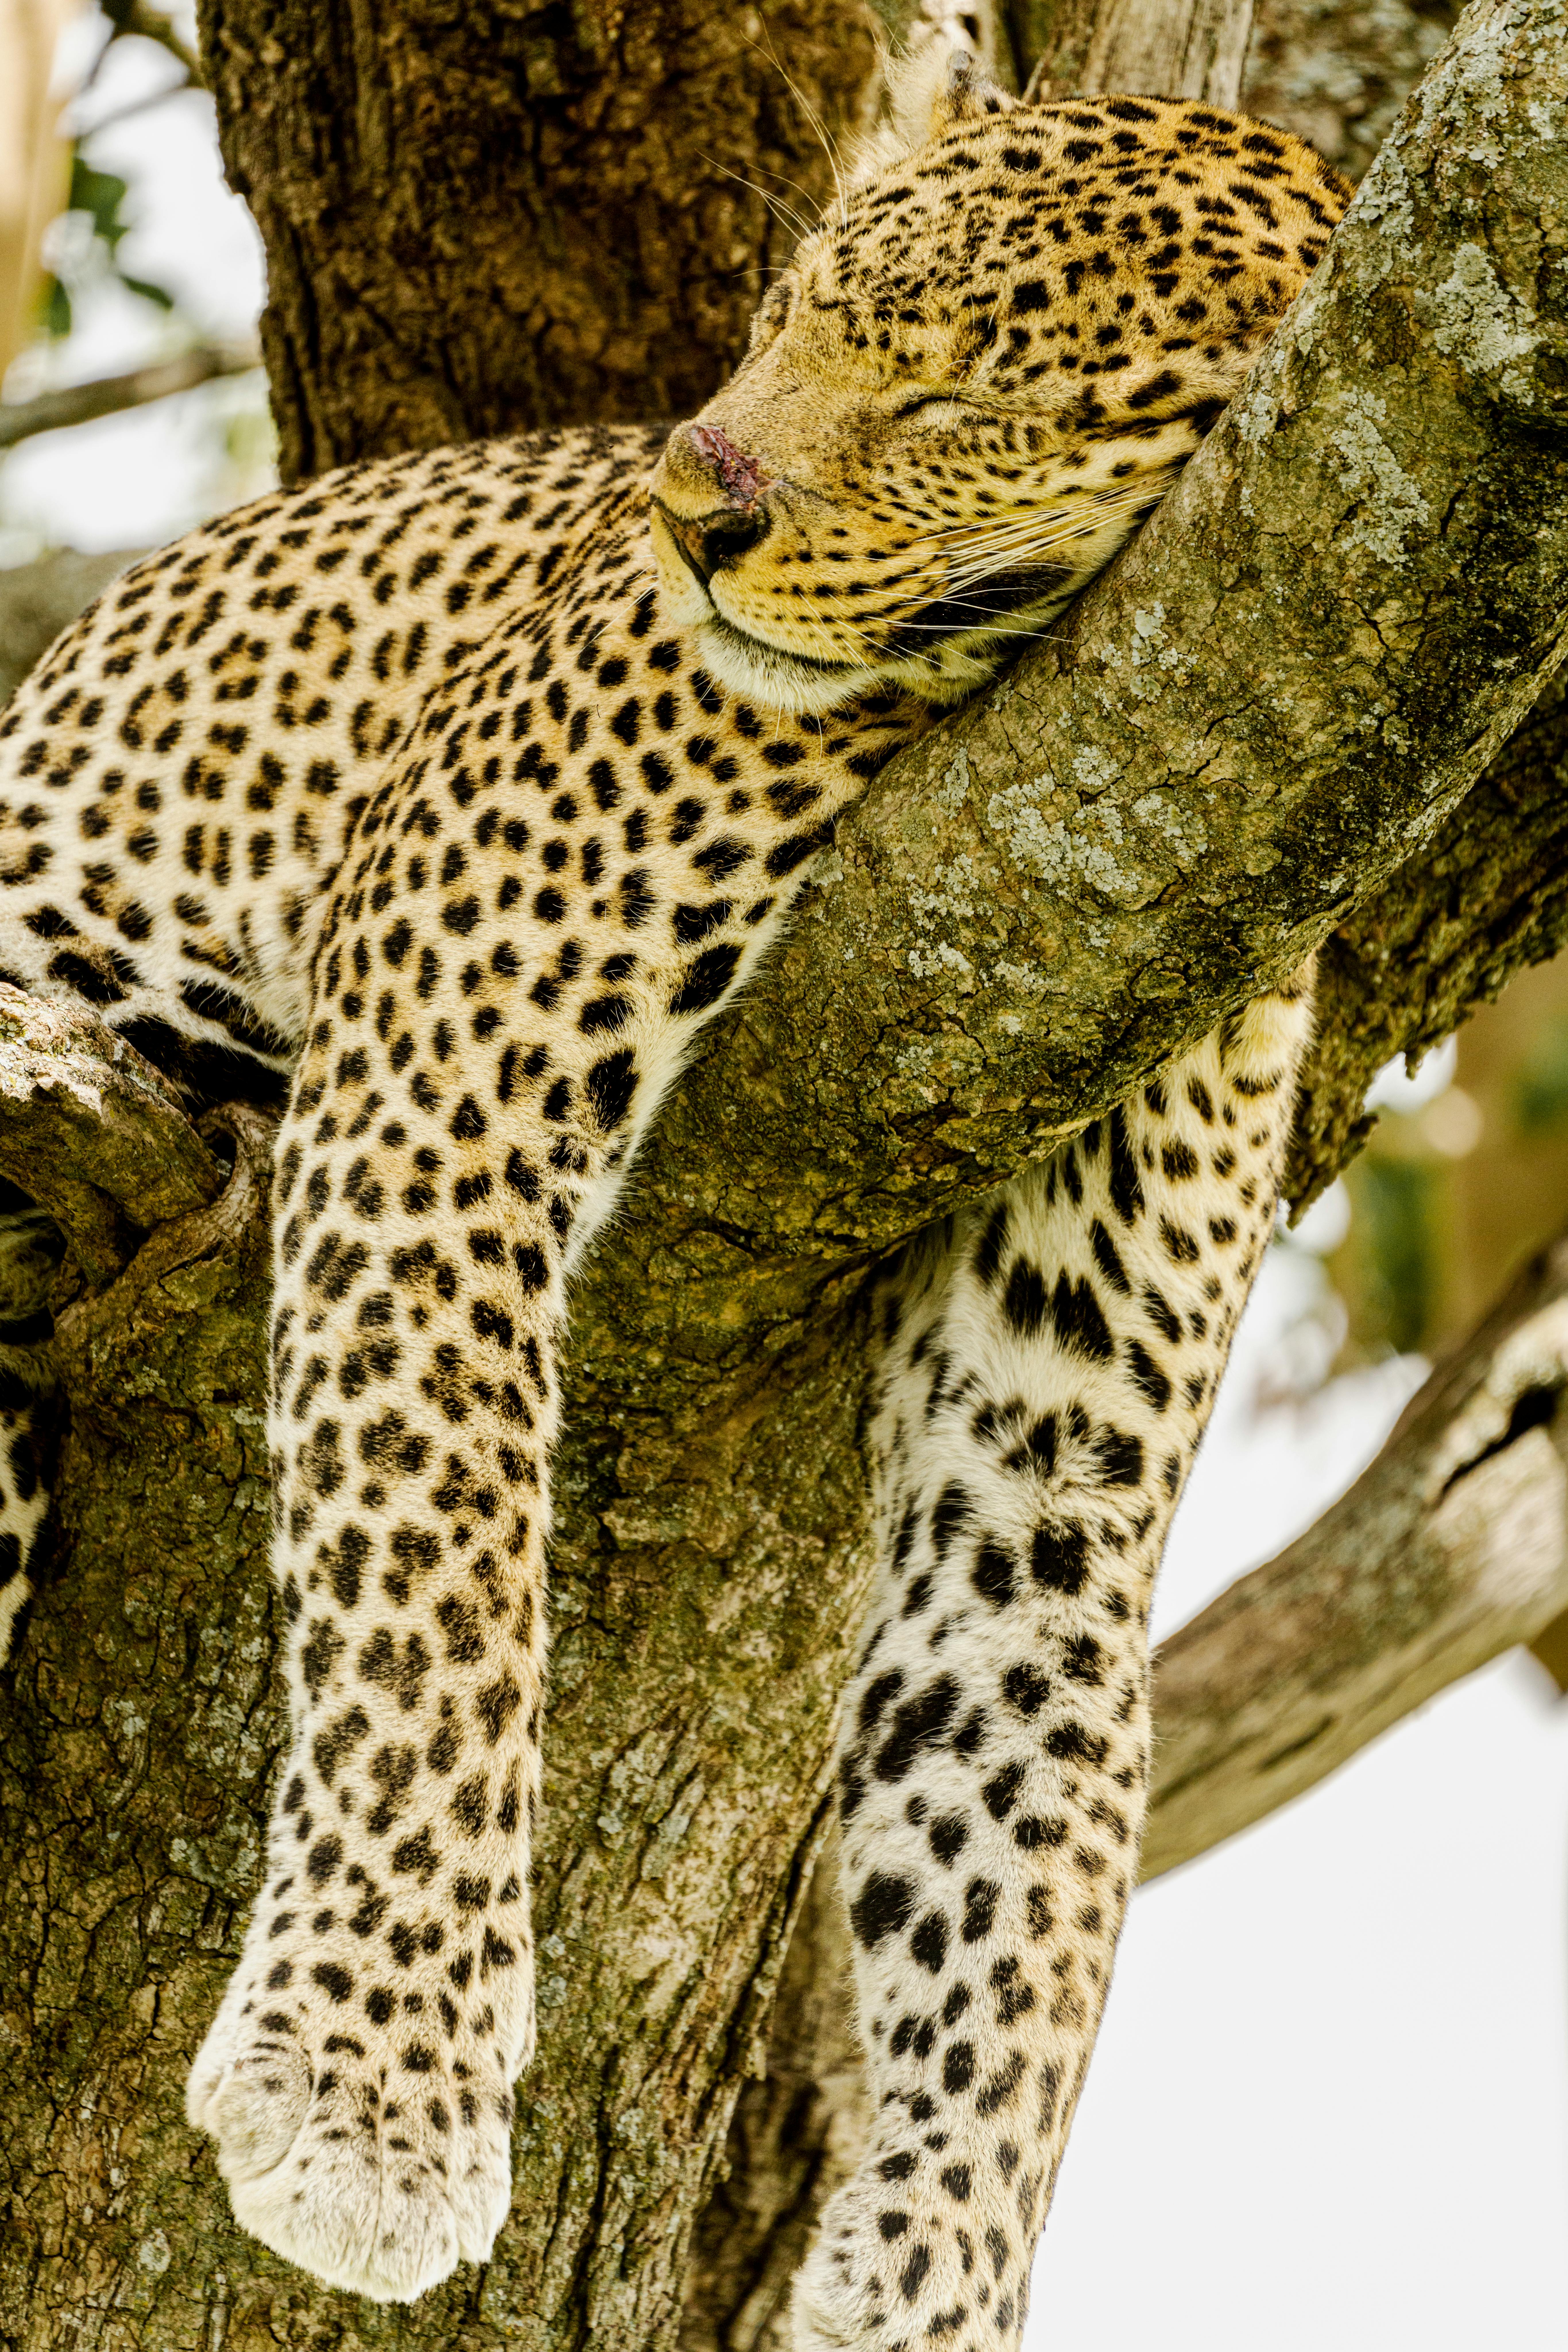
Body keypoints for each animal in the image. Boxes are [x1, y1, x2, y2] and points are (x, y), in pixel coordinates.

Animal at [0, 45, 1345, 2340]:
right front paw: (372, 2098)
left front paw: (925, 2284)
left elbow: (1032, 1857)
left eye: (958, 395)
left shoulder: (1059, 1431)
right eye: (791, 314)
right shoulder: (443, 1051)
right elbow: (440, 1593)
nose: (691, 511)